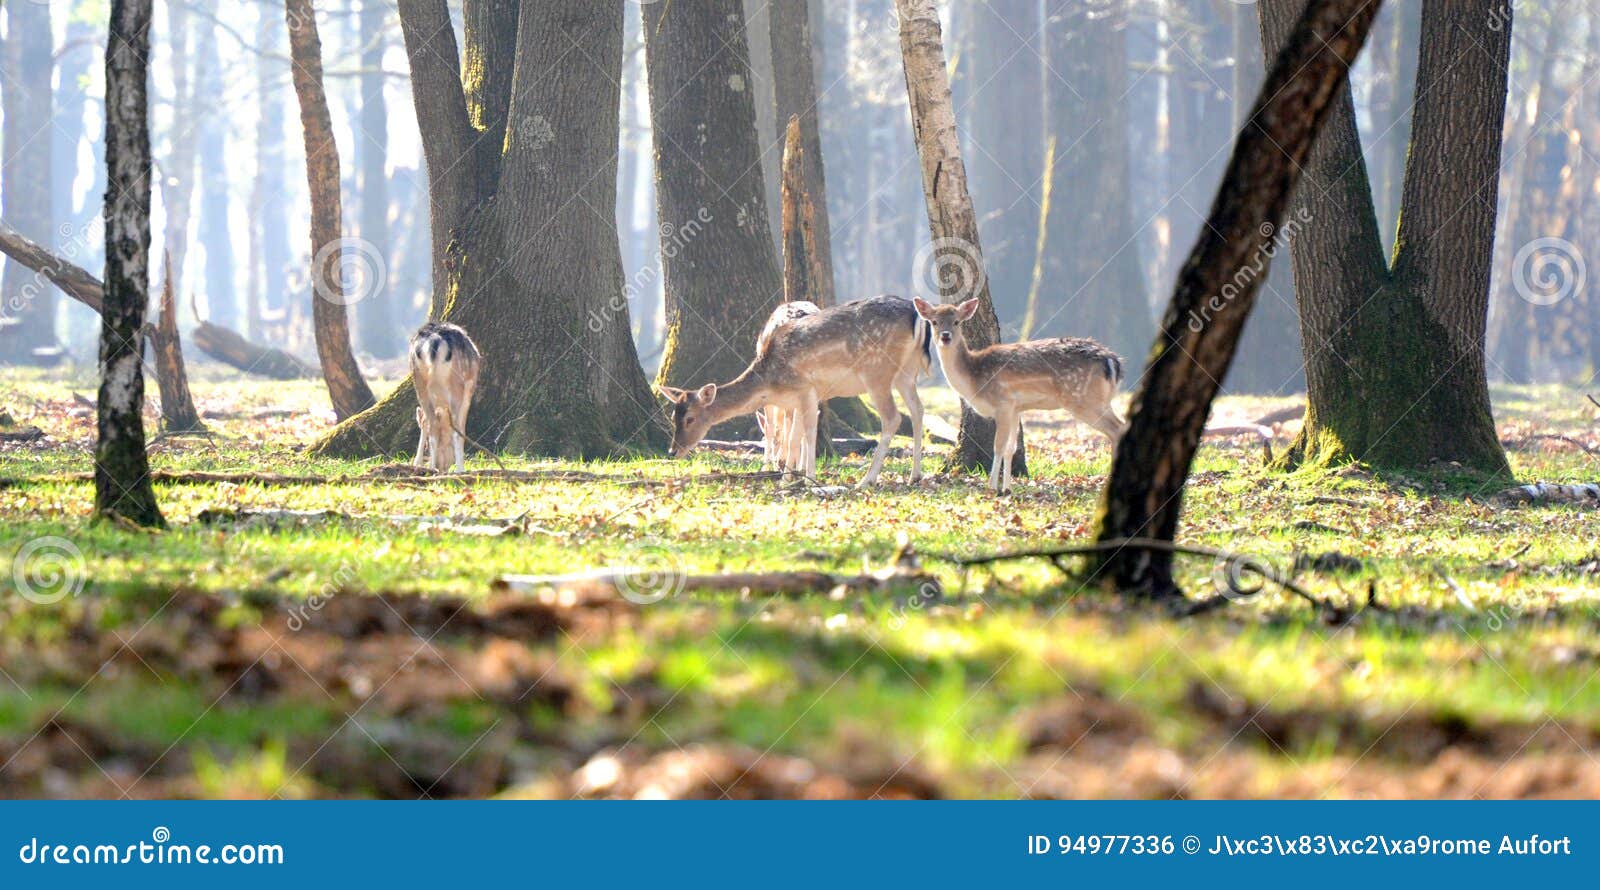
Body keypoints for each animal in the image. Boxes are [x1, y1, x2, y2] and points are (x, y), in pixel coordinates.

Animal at [409, 322, 481, 473]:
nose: (441, 465)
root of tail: (434, 339)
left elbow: (426, 422)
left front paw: (417, 463)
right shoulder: (468, 392)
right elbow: (461, 430)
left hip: (418, 382)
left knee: (433, 424)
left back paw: (431, 469)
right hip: (457, 386)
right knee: (456, 430)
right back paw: (459, 470)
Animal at [912, 297, 1125, 495]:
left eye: (956, 321)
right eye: (934, 322)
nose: (945, 337)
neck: (973, 378)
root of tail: (1113, 362)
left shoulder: (1003, 404)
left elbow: (998, 446)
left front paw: (992, 487)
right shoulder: (1016, 409)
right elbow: (1011, 449)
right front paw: (1006, 489)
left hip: (1083, 400)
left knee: (1116, 429)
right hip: (1102, 401)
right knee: (1121, 426)